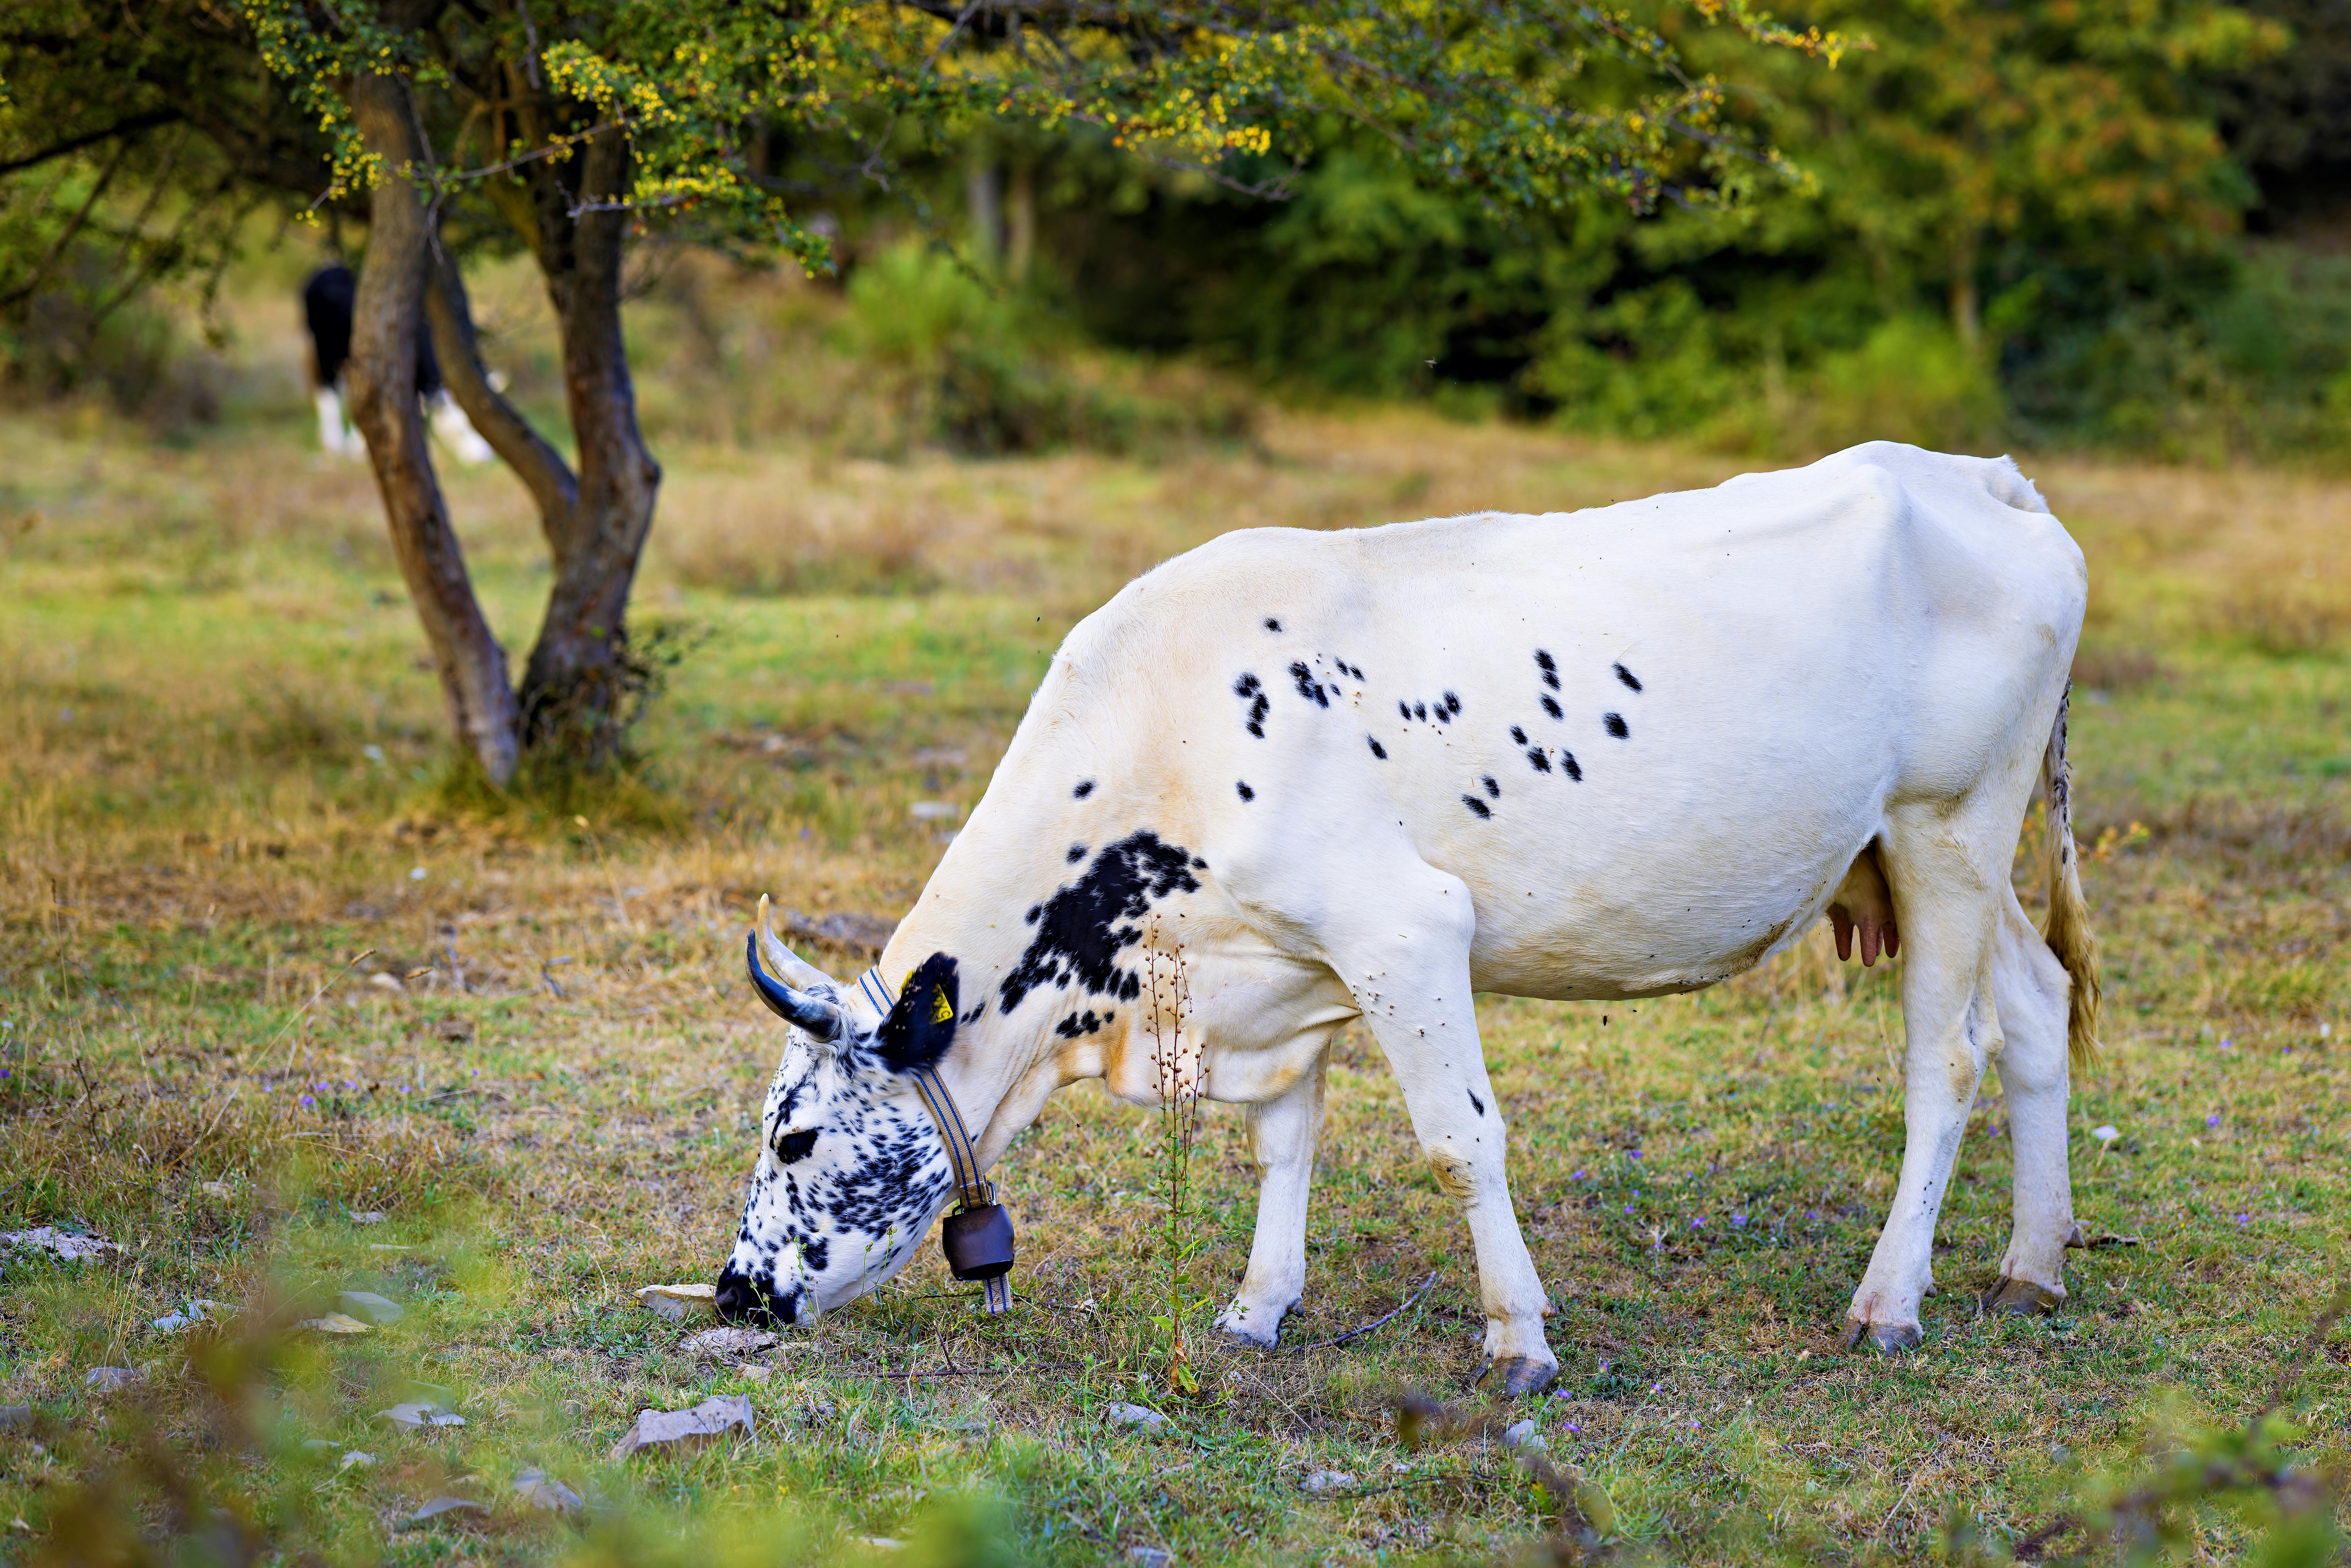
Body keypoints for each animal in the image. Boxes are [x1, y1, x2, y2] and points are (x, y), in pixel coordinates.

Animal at [302, 264, 495, 464]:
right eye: (463, 430)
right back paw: (335, 443)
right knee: (327, 389)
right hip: (326, 346)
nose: (485, 456)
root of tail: (328, 268)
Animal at [715, 440, 2103, 1392]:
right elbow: (1283, 1139)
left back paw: (1889, 1300)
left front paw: (1519, 1338)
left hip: (1945, 825)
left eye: (793, 1136)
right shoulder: (1282, 962)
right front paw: (1257, 1306)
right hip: (1943, 850)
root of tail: (1975, 475)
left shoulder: (1401, 931)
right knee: (2037, 1012)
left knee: (1950, 1057)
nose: (734, 1291)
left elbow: (1458, 1141)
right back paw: (2031, 1266)